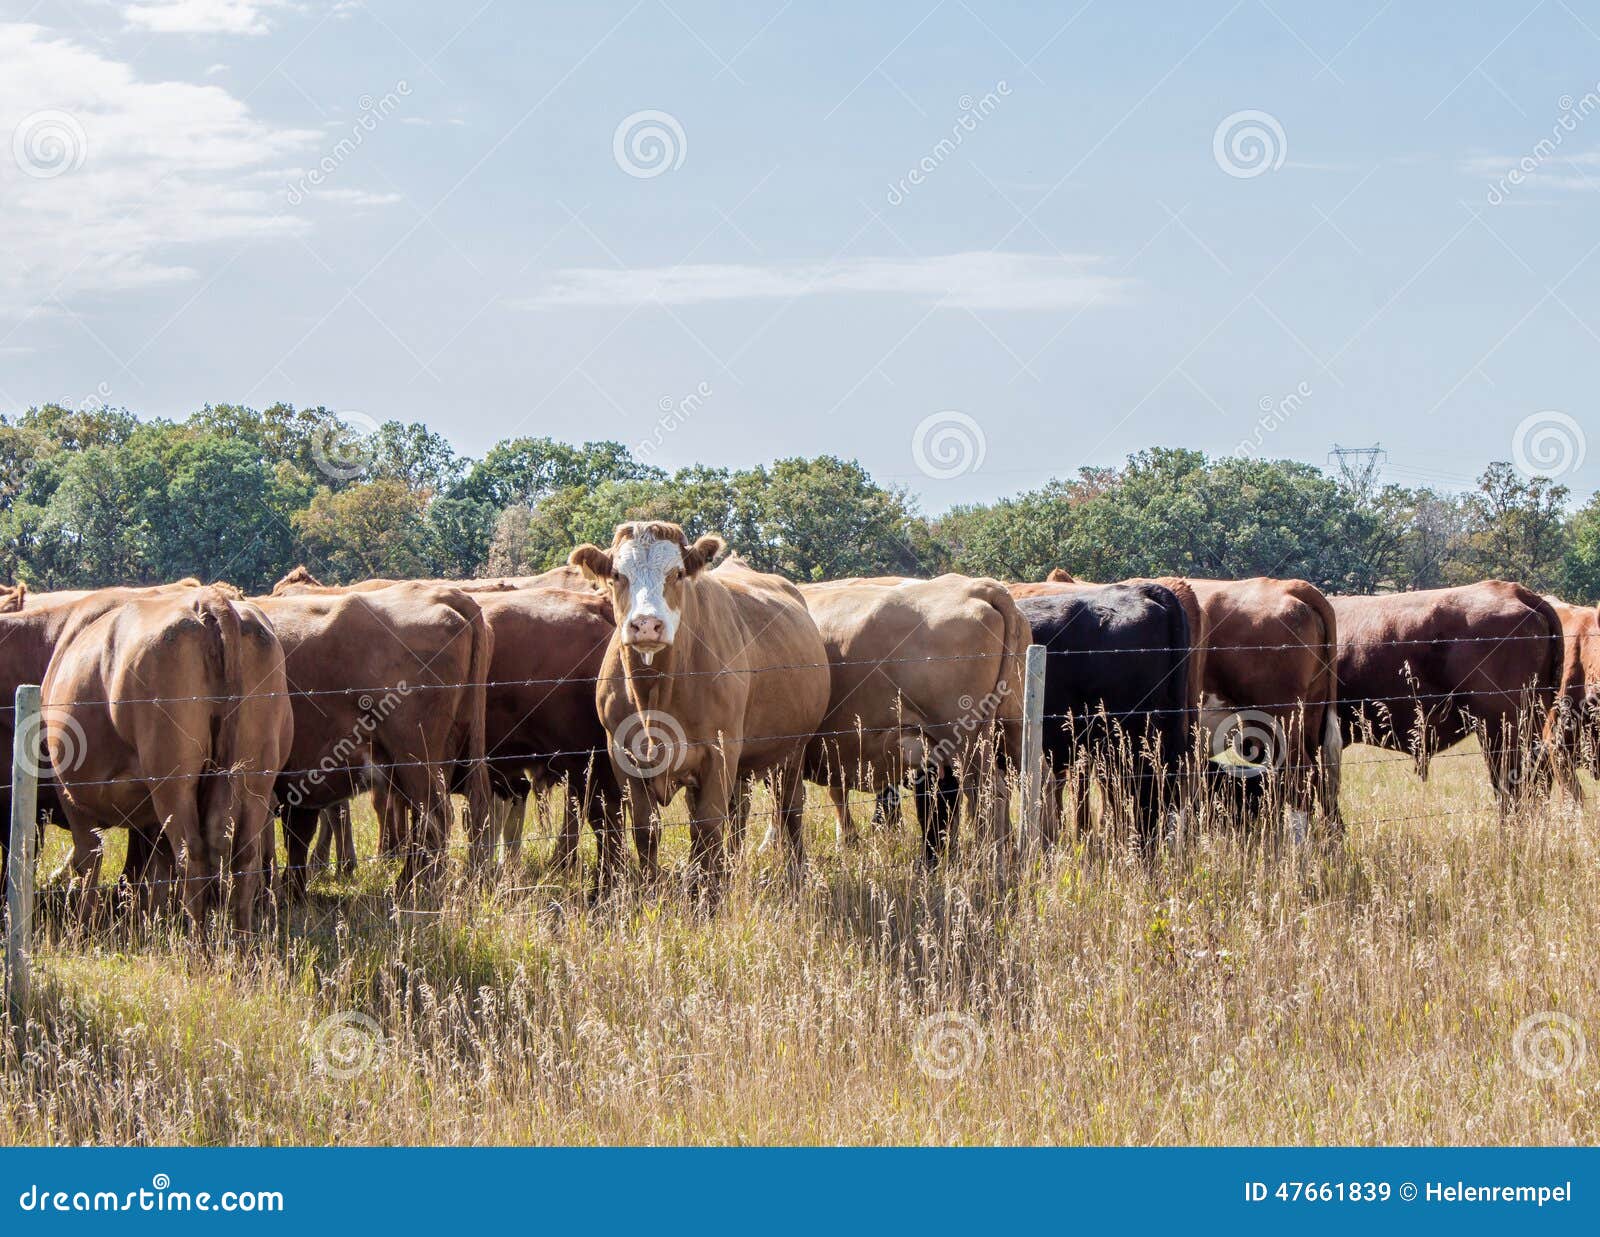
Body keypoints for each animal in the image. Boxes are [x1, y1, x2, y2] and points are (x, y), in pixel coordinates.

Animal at [41, 586, 293, 929]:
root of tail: (209, 601)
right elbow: (154, 869)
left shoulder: (73, 794)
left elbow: (90, 861)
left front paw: (84, 928)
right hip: (254, 778)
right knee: (241, 853)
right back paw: (241, 937)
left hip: (173, 783)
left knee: (192, 855)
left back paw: (197, 940)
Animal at [569, 522, 831, 901]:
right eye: (617, 575)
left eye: (677, 574)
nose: (646, 625)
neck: (655, 694)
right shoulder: (622, 755)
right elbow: (647, 828)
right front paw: (652, 891)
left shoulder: (719, 751)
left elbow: (708, 825)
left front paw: (710, 895)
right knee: (738, 812)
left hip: (791, 750)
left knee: (789, 807)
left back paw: (795, 873)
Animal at [797, 575, 1025, 864]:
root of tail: (977, 587)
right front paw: (846, 841)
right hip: (1013, 724)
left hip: (966, 741)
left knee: (989, 793)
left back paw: (992, 858)